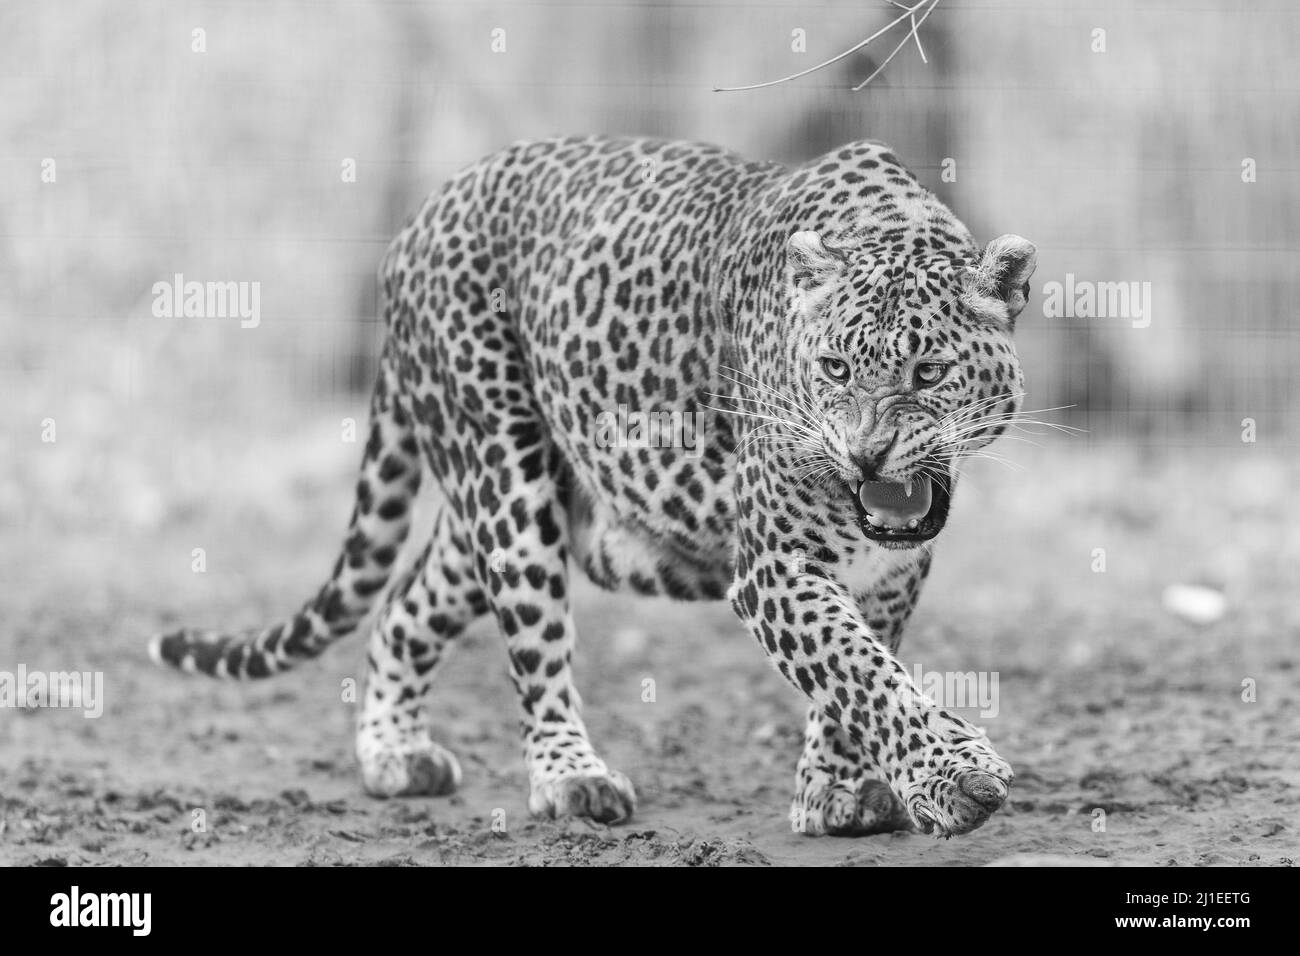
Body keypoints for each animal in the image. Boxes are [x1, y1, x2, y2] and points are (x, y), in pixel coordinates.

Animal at [150, 135, 1037, 839]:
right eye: (835, 369)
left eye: (930, 373)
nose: (866, 454)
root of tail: (420, 217)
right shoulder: (776, 564)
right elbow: (858, 670)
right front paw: (954, 778)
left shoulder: (892, 569)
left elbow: (860, 672)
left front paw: (838, 791)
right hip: (507, 479)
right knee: (535, 647)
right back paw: (571, 779)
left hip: (498, 510)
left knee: (403, 606)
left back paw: (394, 755)